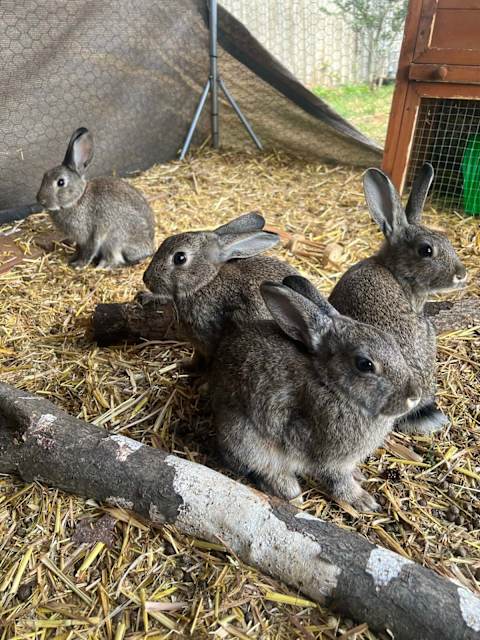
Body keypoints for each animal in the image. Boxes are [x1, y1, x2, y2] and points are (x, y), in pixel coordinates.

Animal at [37, 127, 155, 269]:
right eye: (44, 175)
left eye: (61, 182)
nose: (40, 200)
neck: (78, 199)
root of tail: (150, 248)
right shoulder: (80, 241)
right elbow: (79, 249)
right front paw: (72, 258)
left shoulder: (91, 235)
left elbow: (89, 250)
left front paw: (79, 265)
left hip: (114, 239)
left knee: (116, 258)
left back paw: (103, 266)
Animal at [208, 275, 421, 512]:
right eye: (365, 364)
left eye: (391, 342)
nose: (414, 396)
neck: (331, 386)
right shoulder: (329, 458)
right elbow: (339, 481)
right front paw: (363, 501)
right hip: (246, 439)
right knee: (261, 468)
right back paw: (289, 490)